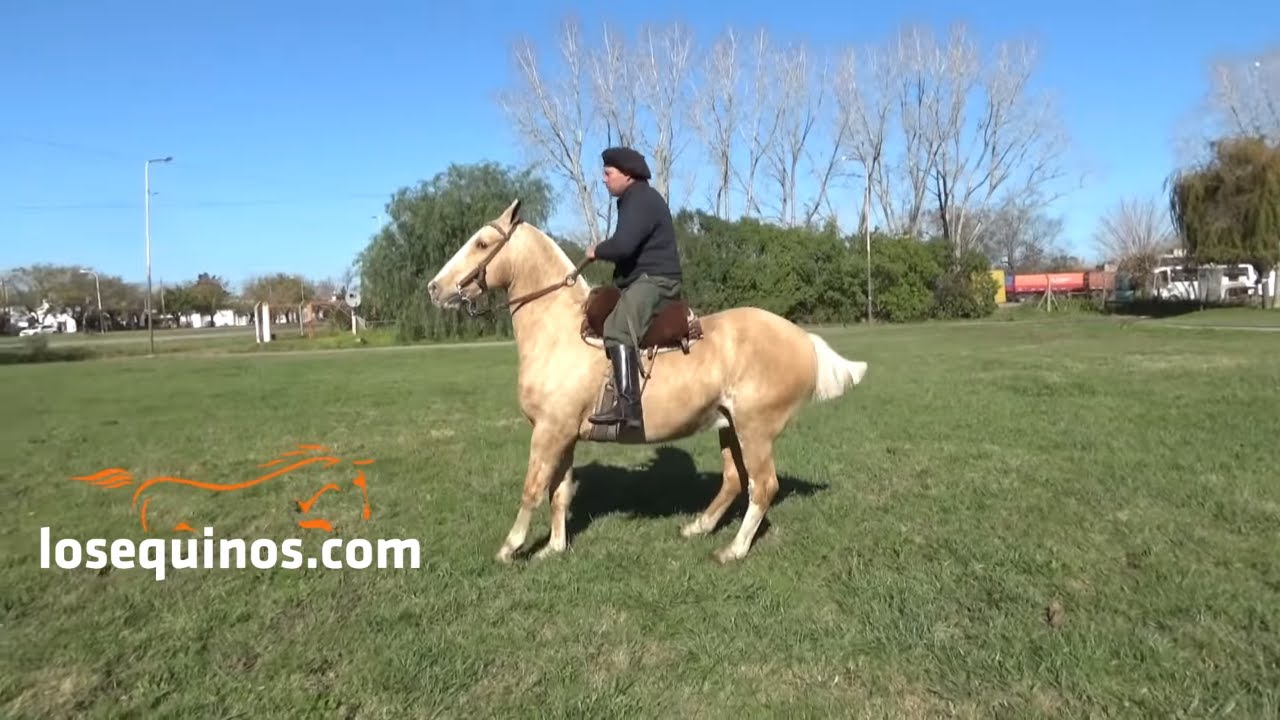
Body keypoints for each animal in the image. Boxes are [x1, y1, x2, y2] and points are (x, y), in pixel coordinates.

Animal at [426, 198, 868, 564]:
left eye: (482, 243)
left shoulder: (549, 432)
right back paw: (698, 527)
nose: (434, 288)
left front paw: (510, 547)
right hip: (729, 427)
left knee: (763, 487)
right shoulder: (563, 434)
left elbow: (533, 488)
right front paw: (553, 548)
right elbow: (558, 491)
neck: (559, 330)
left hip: (755, 430)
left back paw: (733, 550)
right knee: (733, 480)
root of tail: (803, 339)